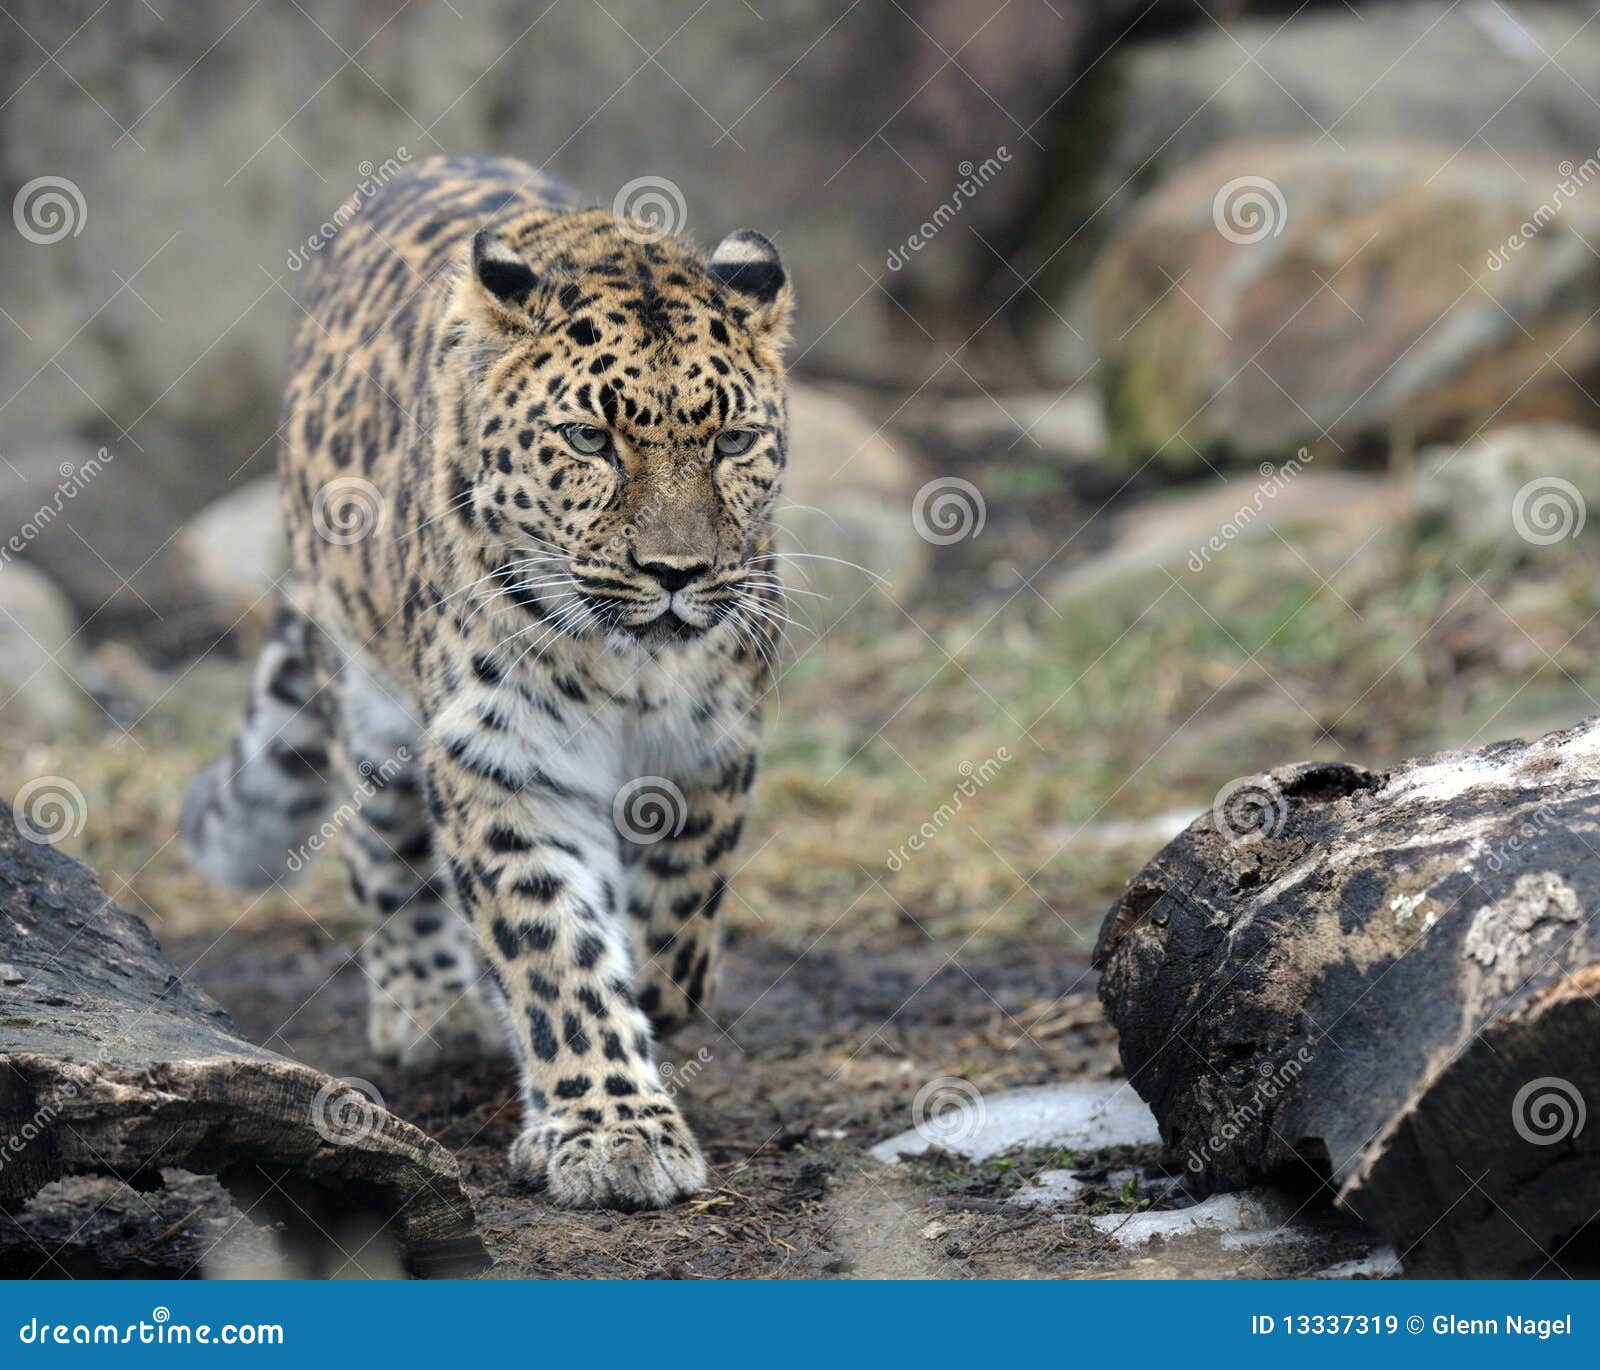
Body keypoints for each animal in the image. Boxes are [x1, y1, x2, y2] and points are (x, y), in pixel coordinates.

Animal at [180, 154, 793, 1210]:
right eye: (590, 441)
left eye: (731, 442)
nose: (676, 572)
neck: (631, 665)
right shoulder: (499, 759)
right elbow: (555, 953)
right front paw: (612, 1131)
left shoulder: (715, 742)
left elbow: (680, 914)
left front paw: (652, 994)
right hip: (370, 697)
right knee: (383, 849)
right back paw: (429, 1007)